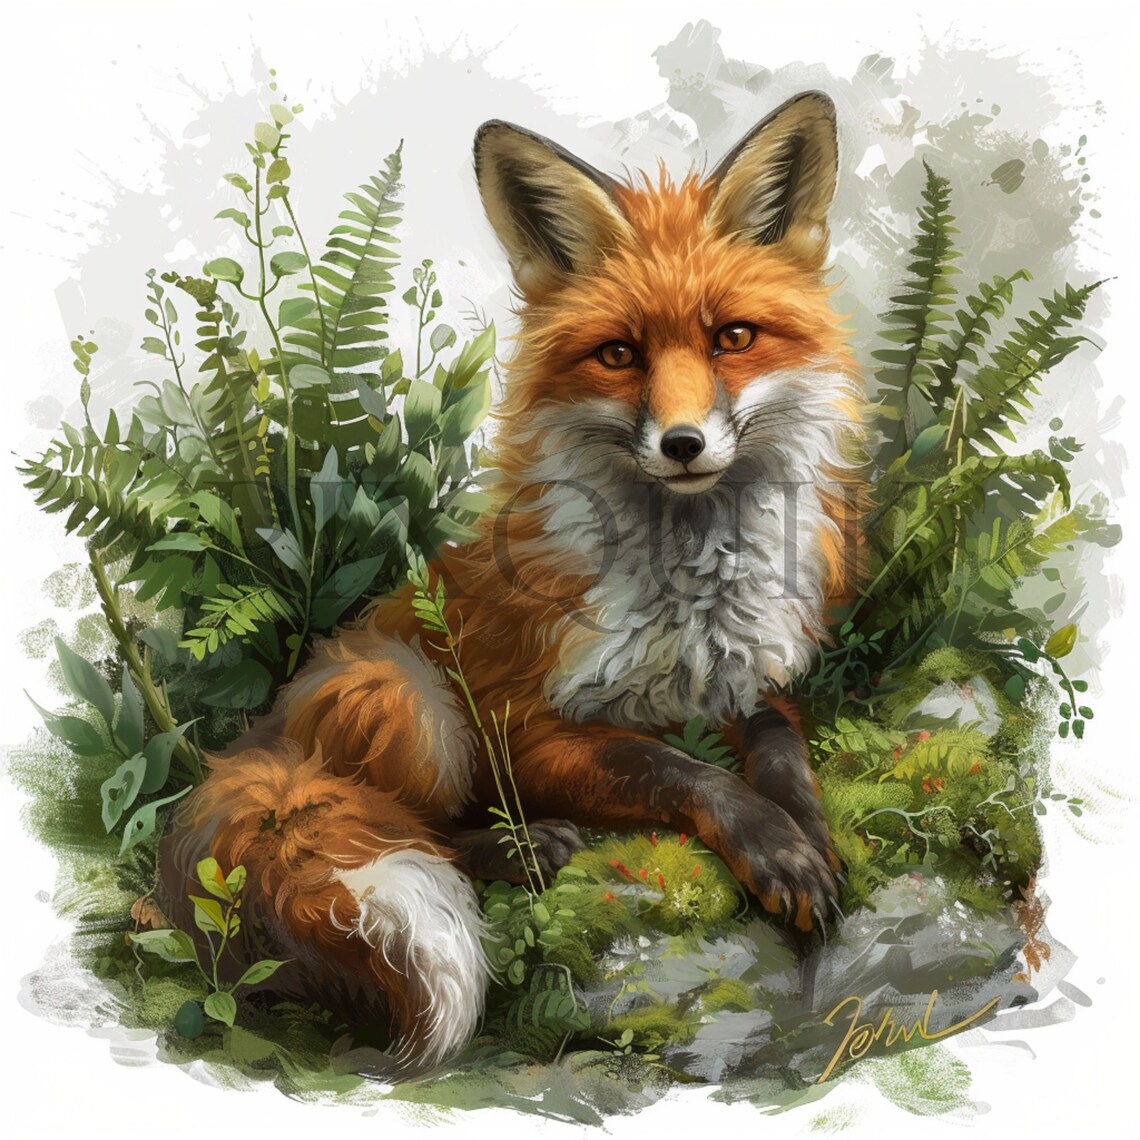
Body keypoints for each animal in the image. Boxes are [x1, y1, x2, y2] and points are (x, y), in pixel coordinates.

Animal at [158, 91, 863, 1074]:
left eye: (732, 339)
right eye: (619, 354)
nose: (683, 443)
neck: (688, 593)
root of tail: (253, 747)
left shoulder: (748, 682)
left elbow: (780, 755)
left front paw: (808, 836)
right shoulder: (526, 728)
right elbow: (680, 770)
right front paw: (771, 844)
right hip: (413, 705)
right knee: (413, 828)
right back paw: (516, 847)